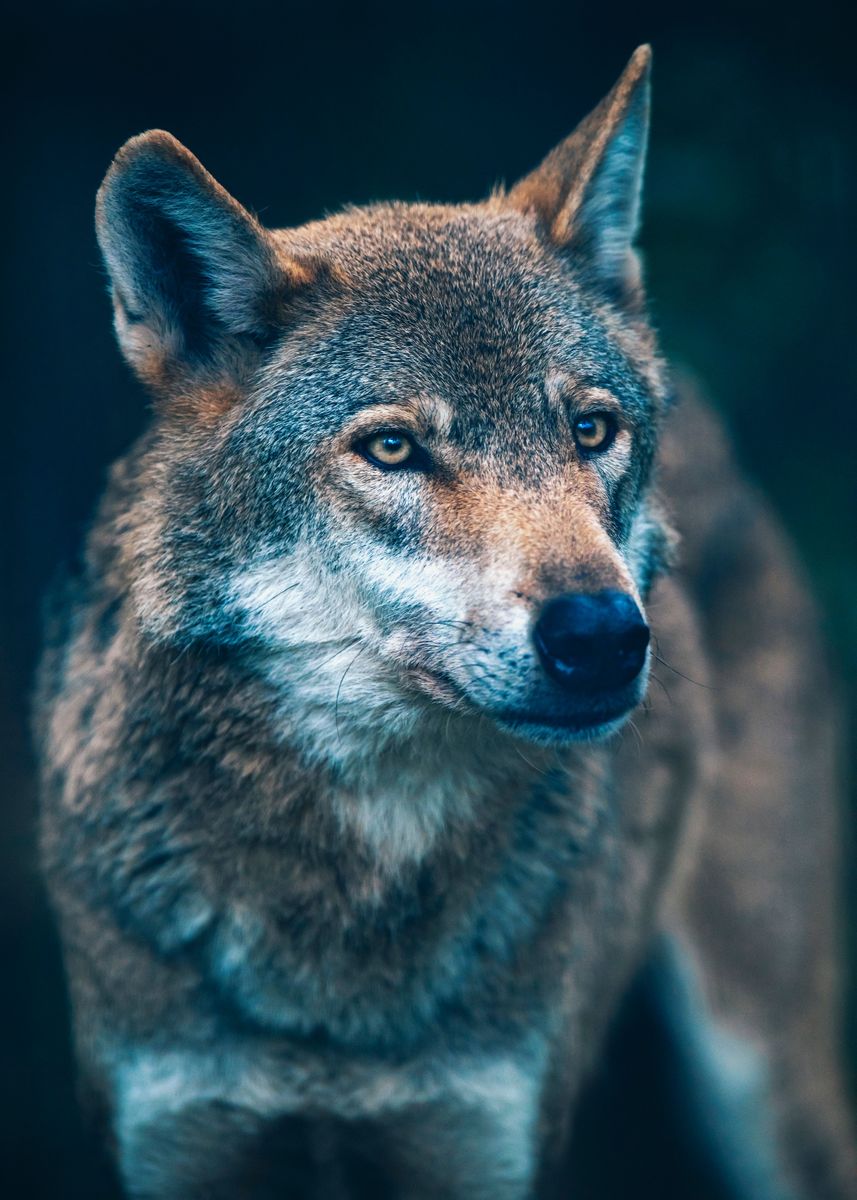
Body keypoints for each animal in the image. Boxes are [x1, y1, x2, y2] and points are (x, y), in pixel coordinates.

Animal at [35, 45, 855, 1199]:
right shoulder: (181, 1147)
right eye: (391, 449)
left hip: (759, 1079)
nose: (602, 635)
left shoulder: (481, 1146)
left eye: (590, 430)